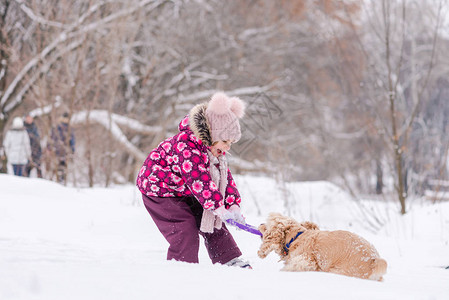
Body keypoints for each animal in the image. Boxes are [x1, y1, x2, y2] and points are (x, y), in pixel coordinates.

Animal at [258, 212, 386, 280]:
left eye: (267, 225)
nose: (260, 223)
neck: (296, 238)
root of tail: (374, 260)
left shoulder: (305, 261)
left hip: (339, 270)